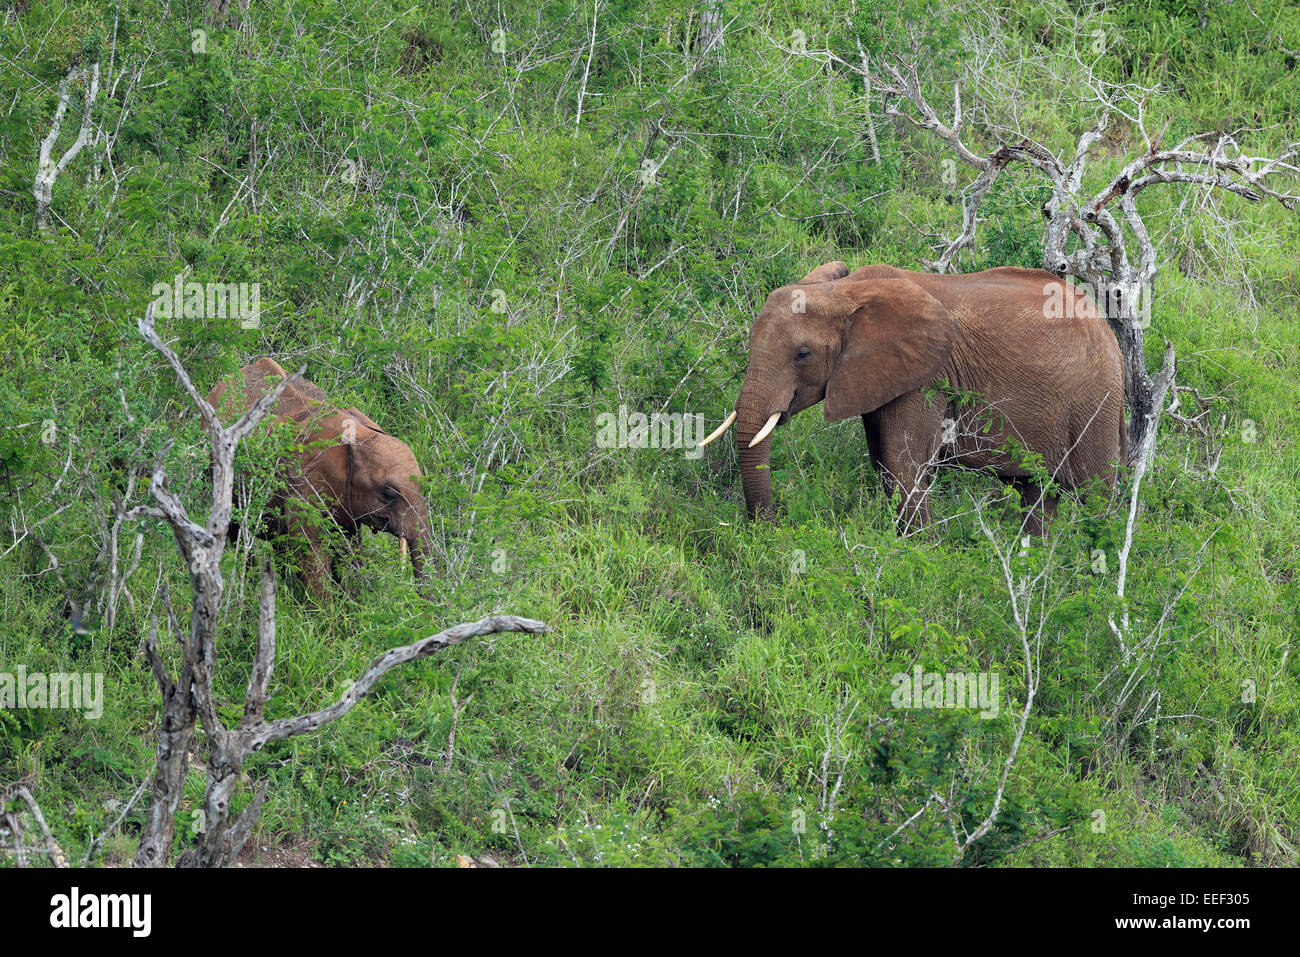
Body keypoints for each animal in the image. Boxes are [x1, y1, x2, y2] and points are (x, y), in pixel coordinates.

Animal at [207, 358, 432, 601]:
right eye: (389, 493)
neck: (358, 433)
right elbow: (311, 548)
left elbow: (347, 546)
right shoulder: (304, 482)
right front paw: (326, 609)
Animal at [698, 262, 1126, 533]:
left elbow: (905, 465)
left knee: (1097, 495)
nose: (772, 528)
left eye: (802, 355)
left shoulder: (926, 377)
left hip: (1095, 403)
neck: (846, 293)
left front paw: (920, 555)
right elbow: (885, 466)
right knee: (1038, 494)